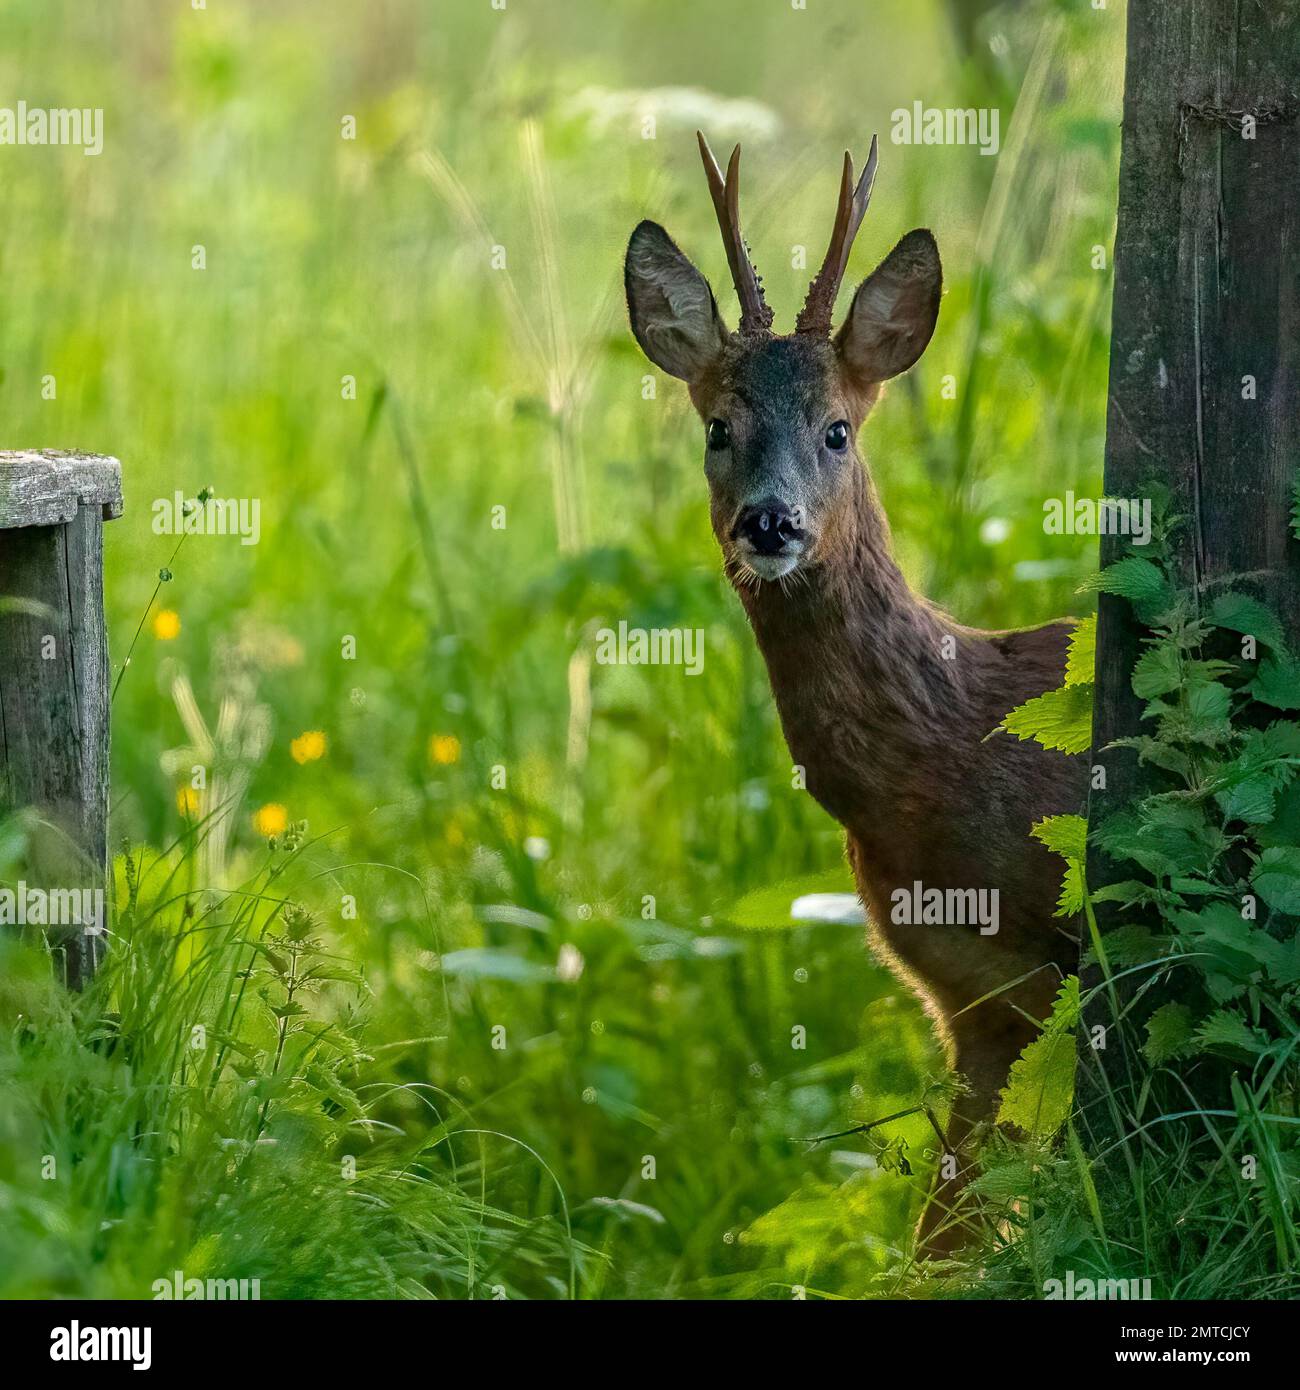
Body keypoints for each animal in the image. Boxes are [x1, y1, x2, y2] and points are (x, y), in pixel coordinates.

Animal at [624, 134, 1088, 1255]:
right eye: (717, 428)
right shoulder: (971, 1004)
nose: (770, 522)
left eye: (837, 429)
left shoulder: (1063, 969)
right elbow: (942, 1235)